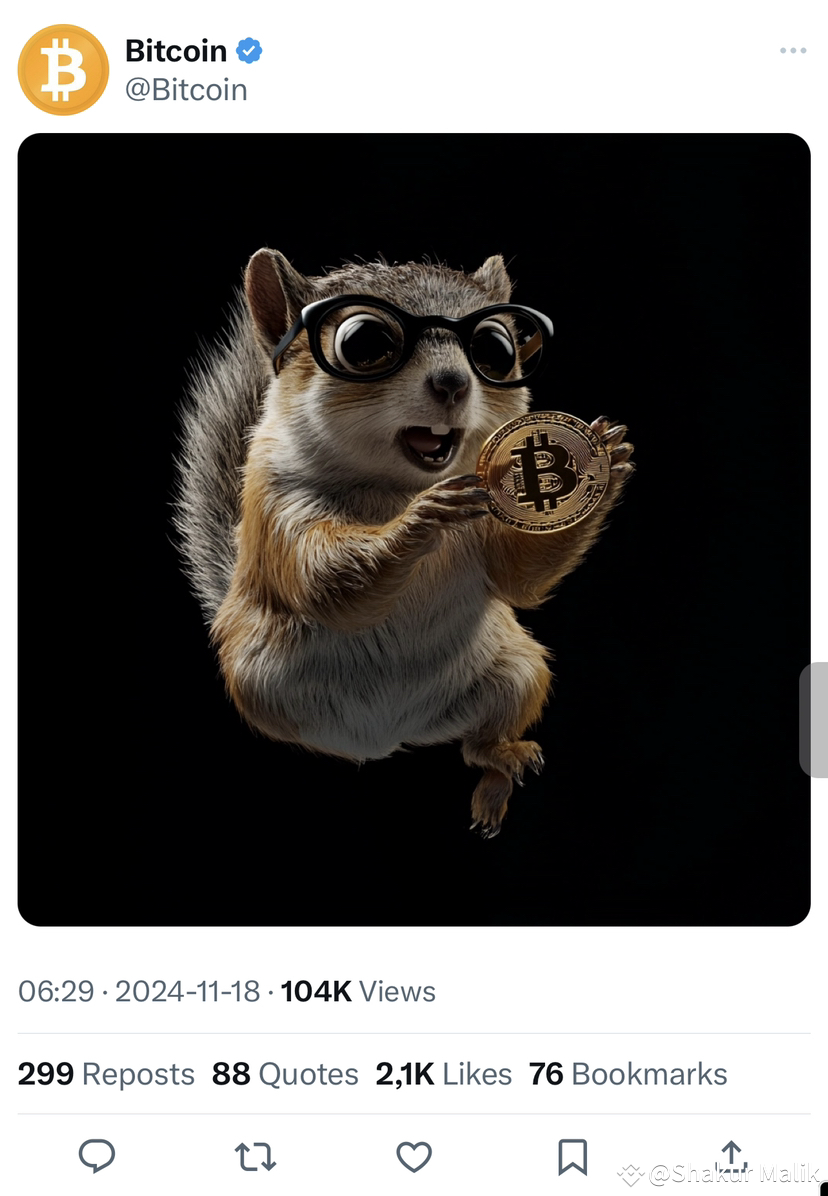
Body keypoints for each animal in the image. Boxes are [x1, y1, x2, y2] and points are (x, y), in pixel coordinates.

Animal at [176, 250, 634, 836]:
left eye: (497, 349)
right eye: (364, 342)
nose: (453, 383)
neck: (395, 485)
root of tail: (391, 734)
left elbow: (518, 574)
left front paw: (602, 460)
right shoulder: (278, 508)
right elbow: (323, 576)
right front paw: (421, 519)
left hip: (518, 672)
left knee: (479, 745)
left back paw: (498, 776)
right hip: (259, 681)